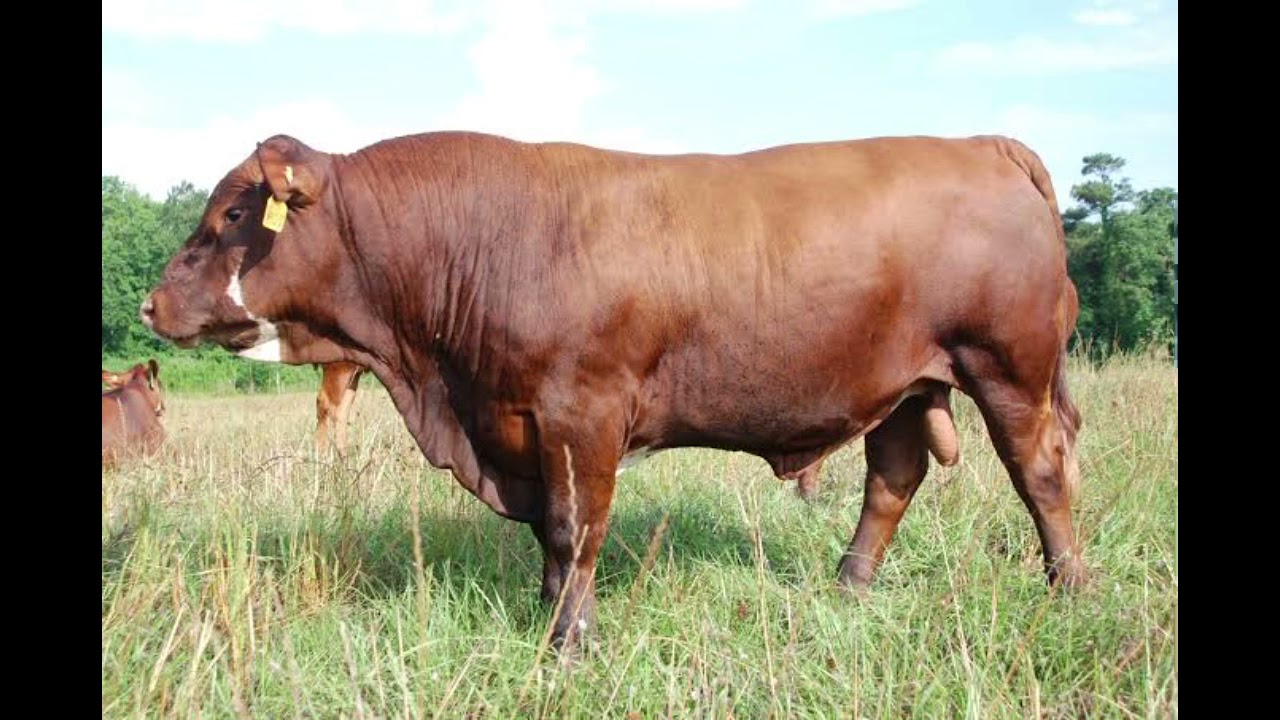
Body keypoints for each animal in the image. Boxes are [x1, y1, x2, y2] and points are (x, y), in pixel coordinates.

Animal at [141, 130, 1083, 650]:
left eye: (232, 216)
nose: (150, 303)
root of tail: (982, 144)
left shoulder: (580, 414)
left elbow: (574, 527)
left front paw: (570, 641)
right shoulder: (521, 424)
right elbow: (550, 539)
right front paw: (548, 611)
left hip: (1008, 366)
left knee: (1041, 470)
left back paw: (1068, 586)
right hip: (901, 382)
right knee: (892, 478)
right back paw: (849, 586)